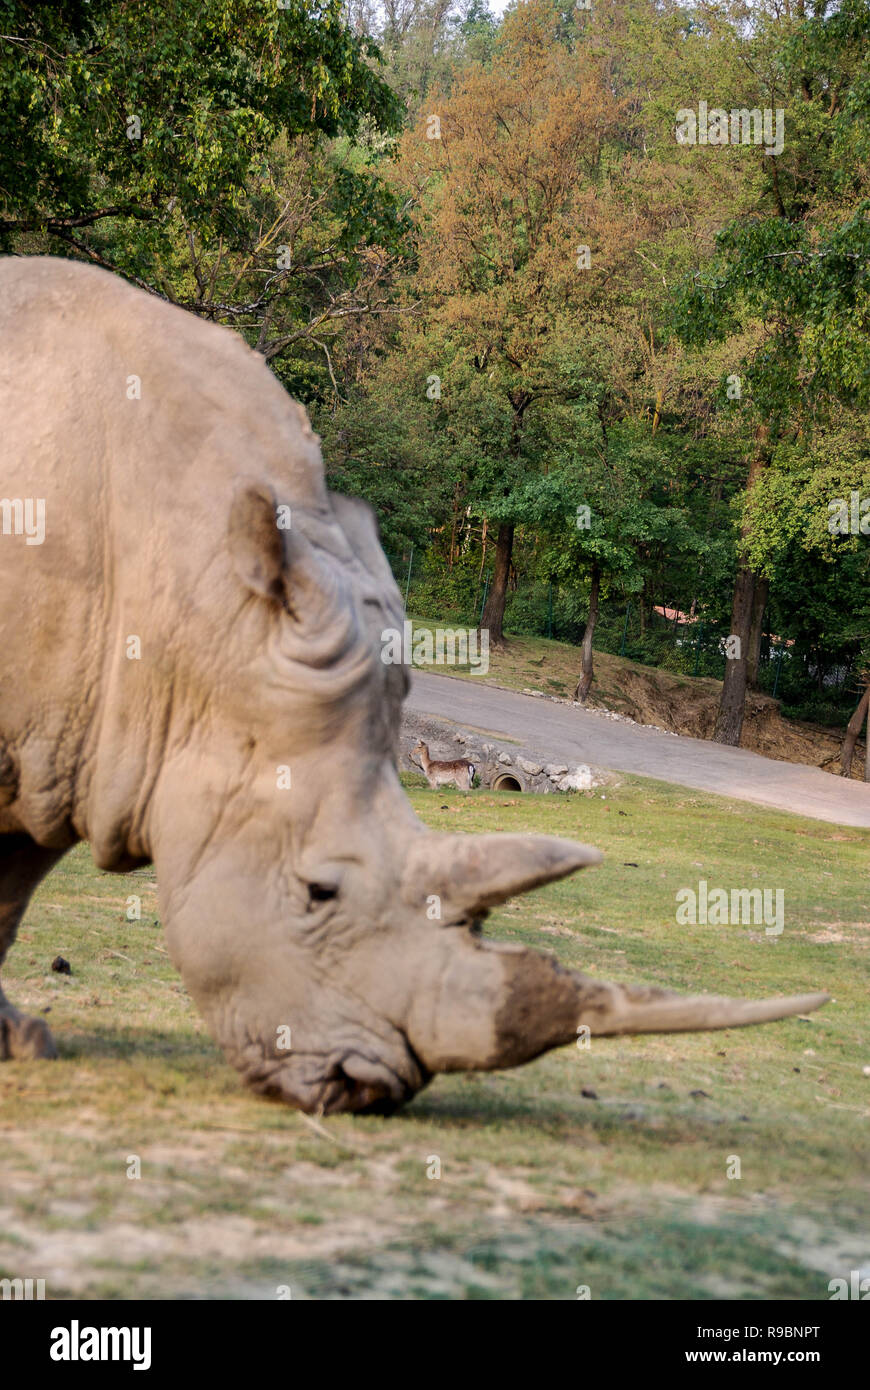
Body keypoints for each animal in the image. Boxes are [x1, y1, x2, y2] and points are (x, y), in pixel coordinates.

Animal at [0, 257, 827, 1113]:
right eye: (317, 893)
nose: (367, 1088)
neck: (203, 624)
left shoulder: (76, 738)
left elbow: (12, 884)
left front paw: (20, 1041)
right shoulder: (69, 739)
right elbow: (9, 882)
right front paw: (22, 1043)